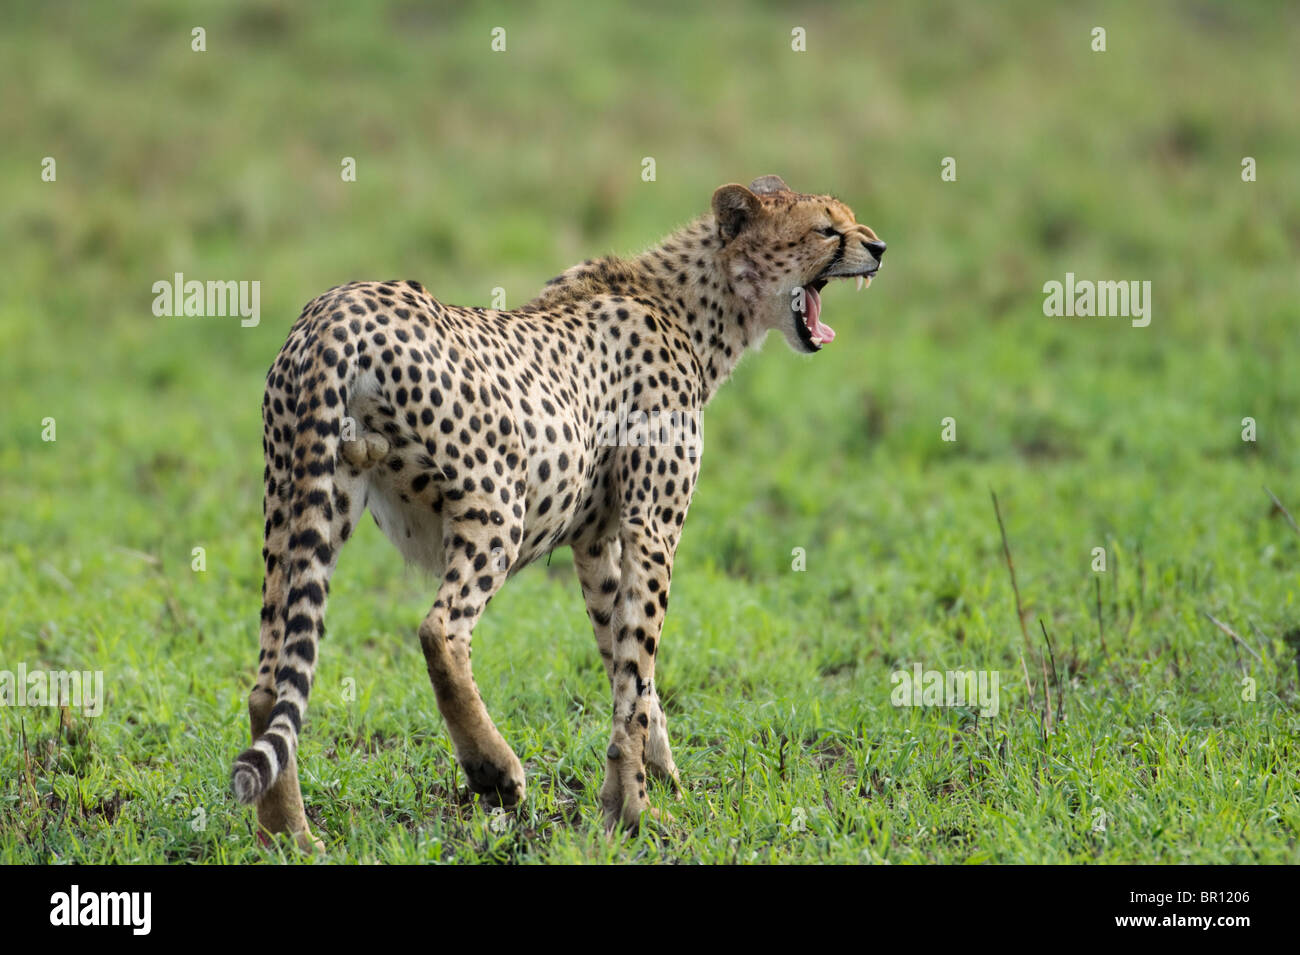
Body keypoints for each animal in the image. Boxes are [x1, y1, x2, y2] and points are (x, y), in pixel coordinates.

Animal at [230, 174, 885, 849]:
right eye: (827, 229)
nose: (879, 247)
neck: (692, 305)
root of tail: (335, 310)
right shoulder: (651, 526)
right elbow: (637, 668)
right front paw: (636, 812)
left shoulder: (596, 542)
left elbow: (628, 667)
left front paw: (656, 780)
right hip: (495, 505)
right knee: (440, 630)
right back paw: (494, 771)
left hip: (297, 509)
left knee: (269, 683)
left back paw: (287, 836)